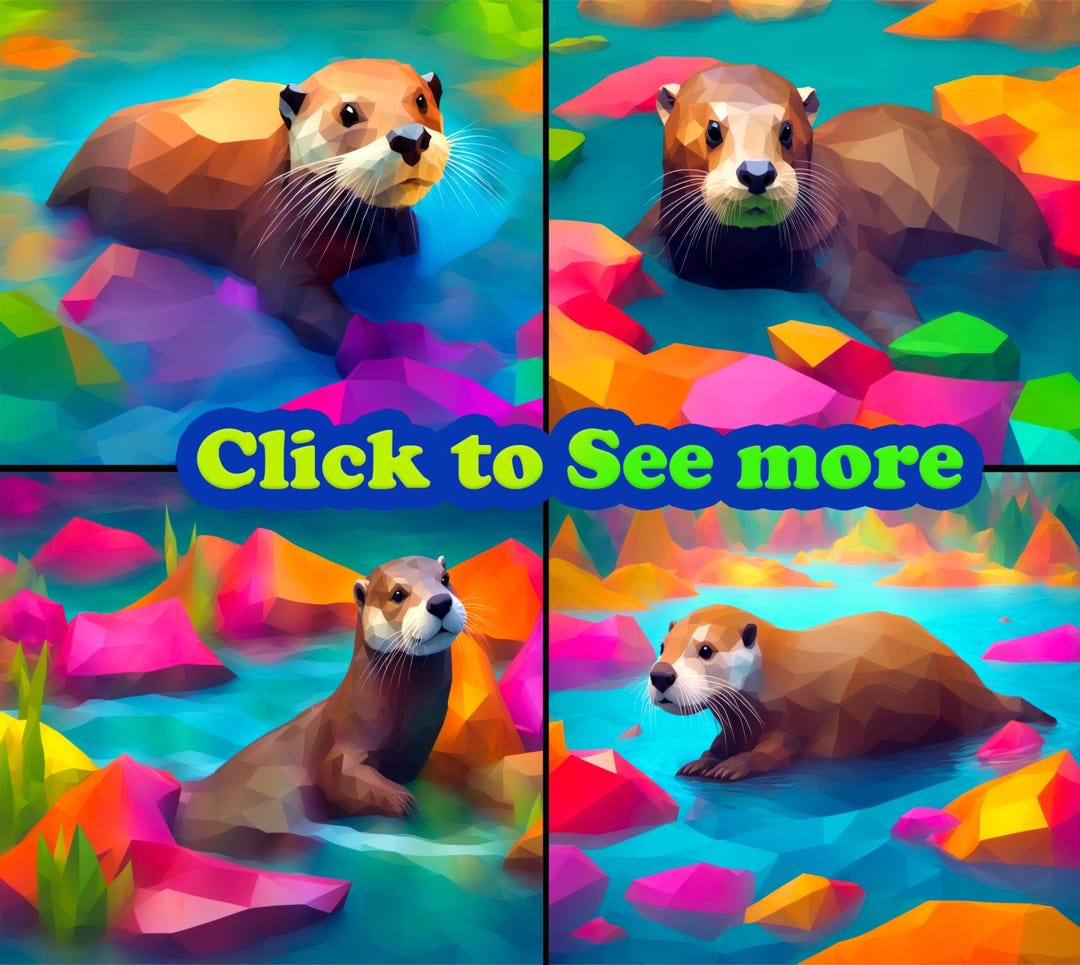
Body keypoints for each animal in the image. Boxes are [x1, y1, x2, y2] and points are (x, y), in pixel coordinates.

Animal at [174, 555, 466, 852]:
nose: (440, 602)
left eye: (445, 578)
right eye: (397, 594)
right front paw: (403, 800)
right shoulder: (345, 734)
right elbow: (341, 776)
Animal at [628, 62, 1056, 345]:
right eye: (713, 131)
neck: (742, 268)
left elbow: (887, 311)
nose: (757, 173)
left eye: (787, 131)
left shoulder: (841, 248)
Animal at [648, 605, 1055, 782]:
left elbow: (778, 750)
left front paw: (731, 766)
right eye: (662, 646)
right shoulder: (738, 723)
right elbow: (721, 743)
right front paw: (702, 761)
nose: (661, 675)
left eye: (705, 650)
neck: (773, 675)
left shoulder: (792, 719)